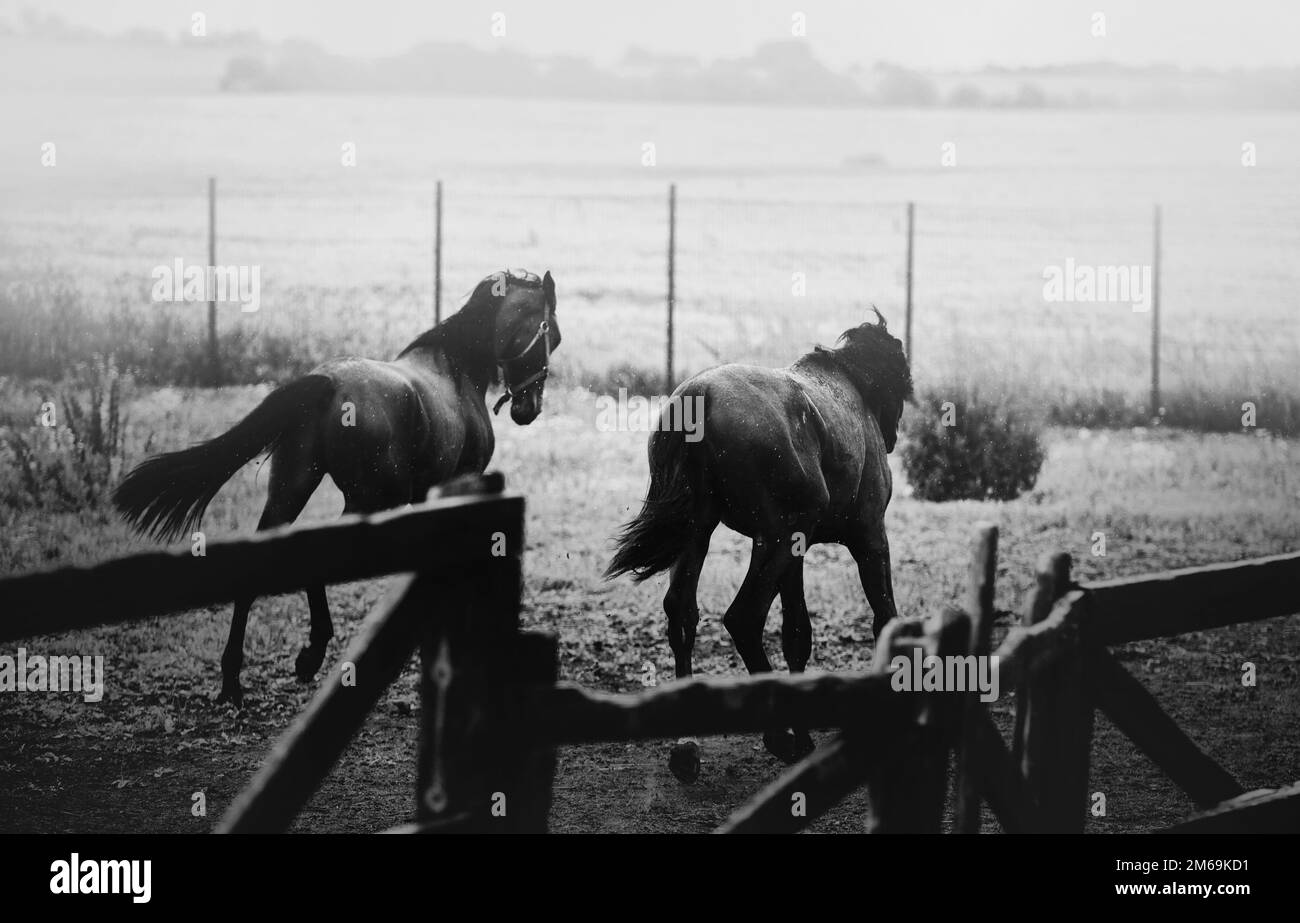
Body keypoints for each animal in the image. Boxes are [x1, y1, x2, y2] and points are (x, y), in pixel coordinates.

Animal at [113, 269, 560, 705]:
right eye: (551, 334)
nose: (529, 408)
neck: (457, 374)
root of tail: (326, 382)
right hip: (368, 502)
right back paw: (310, 655)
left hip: (289, 493)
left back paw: (233, 681)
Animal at [606, 310, 911, 773]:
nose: (892, 436)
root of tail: (699, 395)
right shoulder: (870, 537)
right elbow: (883, 617)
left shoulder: (795, 552)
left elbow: (797, 635)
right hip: (775, 539)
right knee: (743, 617)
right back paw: (777, 736)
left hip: (703, 533)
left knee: (682, 612)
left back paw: (687, 744)